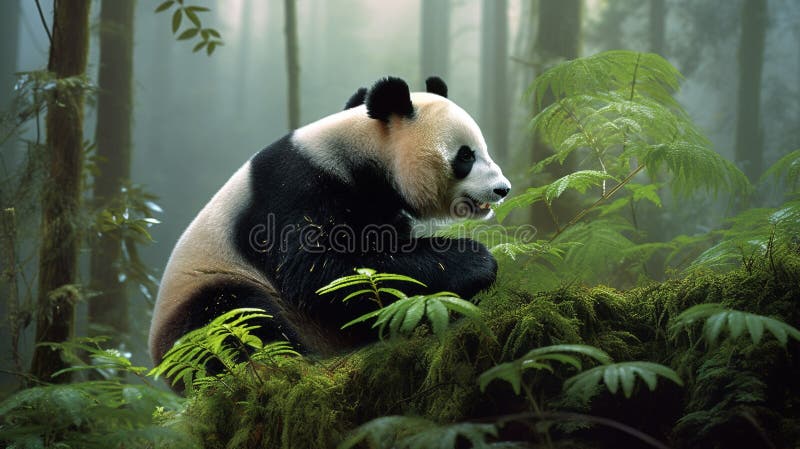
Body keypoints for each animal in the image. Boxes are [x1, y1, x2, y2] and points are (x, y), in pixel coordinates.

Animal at [148, 76, 511, 366]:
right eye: (466, 155)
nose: (502, 188)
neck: (356, 149)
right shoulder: (295, 187)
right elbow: (321, 272)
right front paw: (475, 260)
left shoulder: (373, 204)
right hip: (207, 288)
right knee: (234, 318)